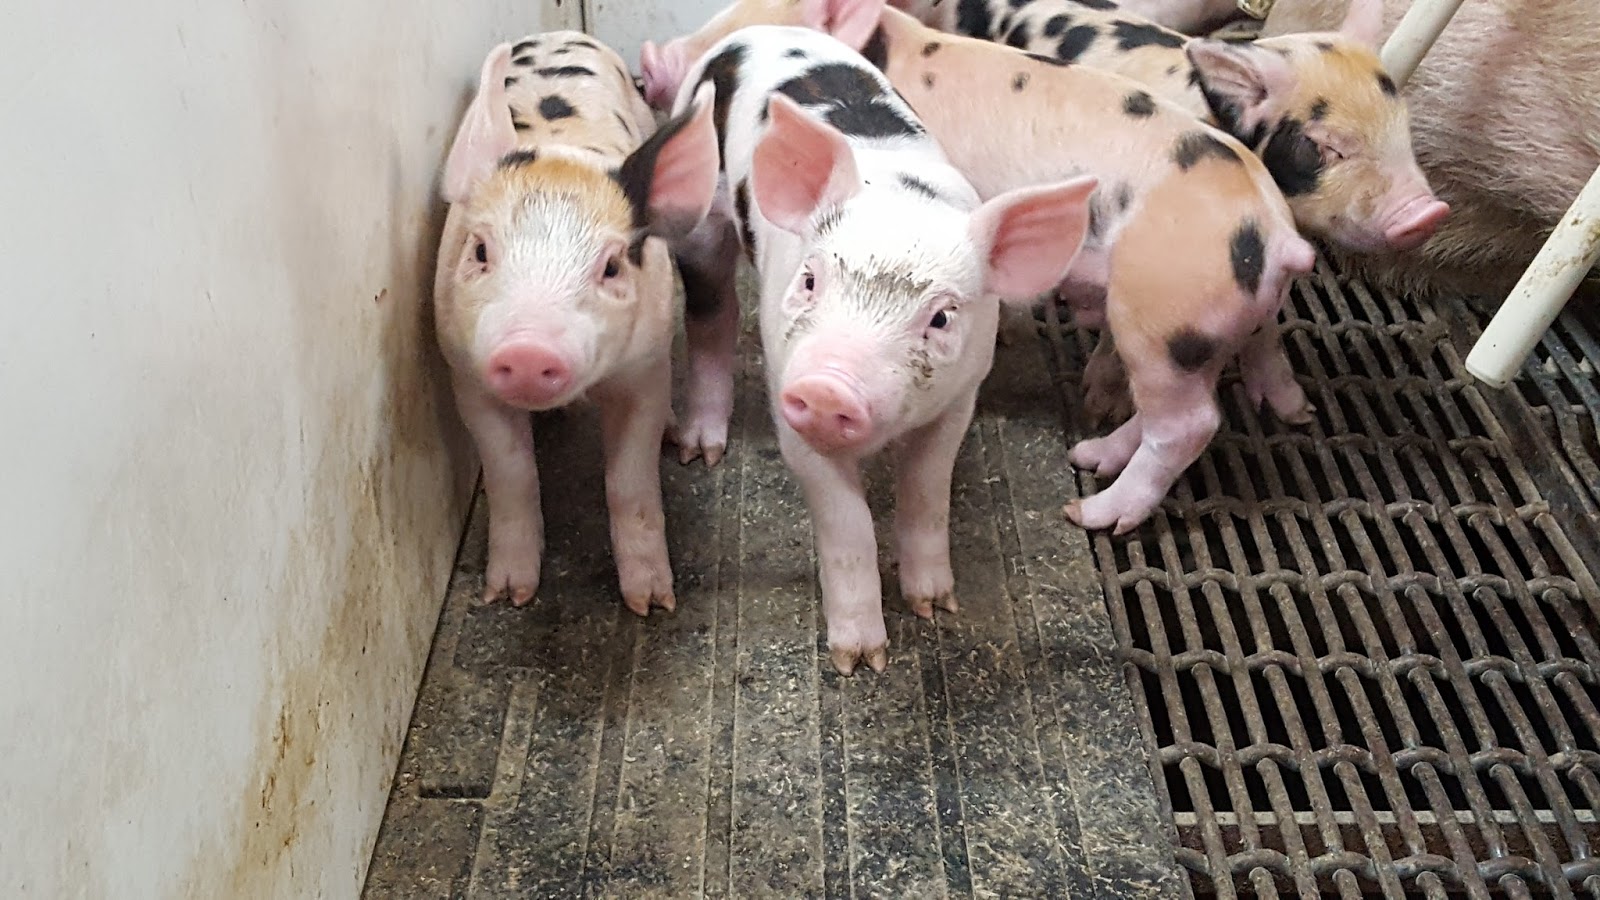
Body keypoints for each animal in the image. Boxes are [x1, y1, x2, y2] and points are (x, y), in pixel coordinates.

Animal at [433, 35, 722, 615]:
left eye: (610, 266)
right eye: (480, 250)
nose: (527, 350)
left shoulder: (644, 368)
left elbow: (629, 484)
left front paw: (652, 604)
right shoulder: (465, 374)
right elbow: (511, 474)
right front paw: (509, 596)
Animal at [668, 23, 1097, 673]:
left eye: (941, 317)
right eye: (811, 280)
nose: (828, 388)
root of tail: (755, 30)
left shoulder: (961, 396)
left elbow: (926, 490)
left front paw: (935, 607)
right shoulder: (786, 392)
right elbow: (847, 523)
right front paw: (860, 660)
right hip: (701, 215)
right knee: (712, 315)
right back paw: (702, 453)